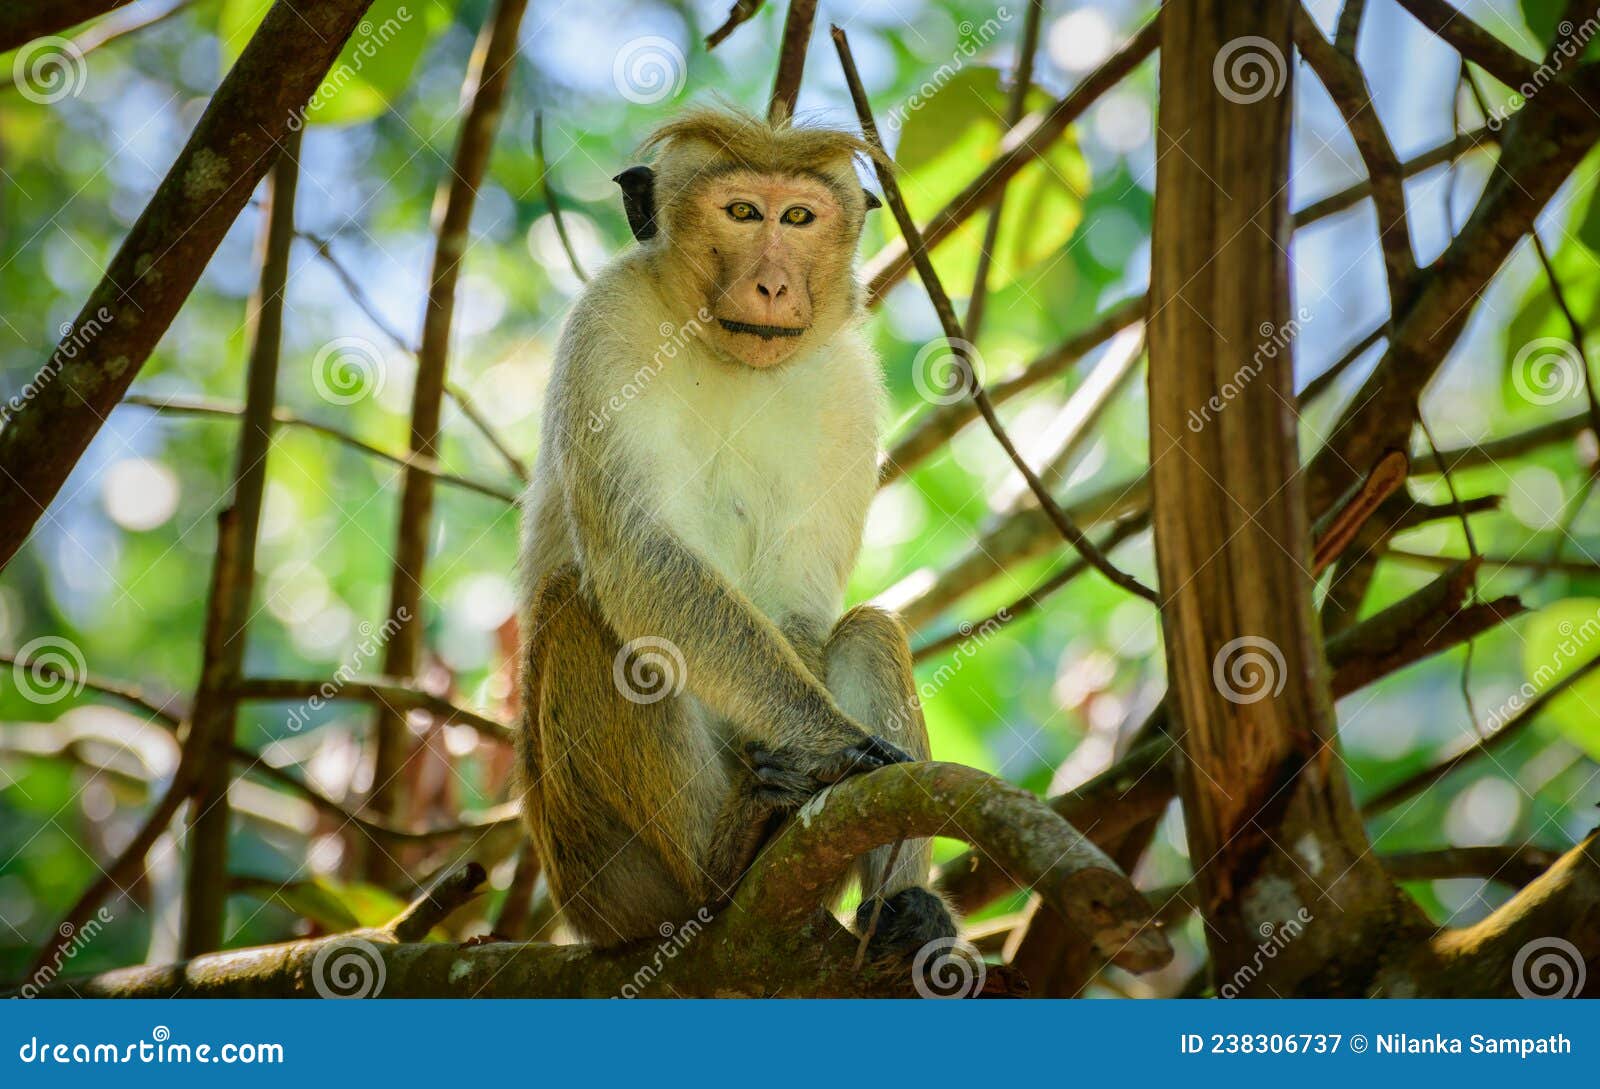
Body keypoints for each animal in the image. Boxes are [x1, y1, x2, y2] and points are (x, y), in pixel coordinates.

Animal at [515, 106, 956, 961]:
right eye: (743, 212)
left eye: (799, 218)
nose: (774, 283)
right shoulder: (607, 320)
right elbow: (639, 559)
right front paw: (836, 742)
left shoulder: (848, 384)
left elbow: (800, 605)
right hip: (601, 871)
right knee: (580, 605)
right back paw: (723, 861)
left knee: (866, 631)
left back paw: (902, 912)